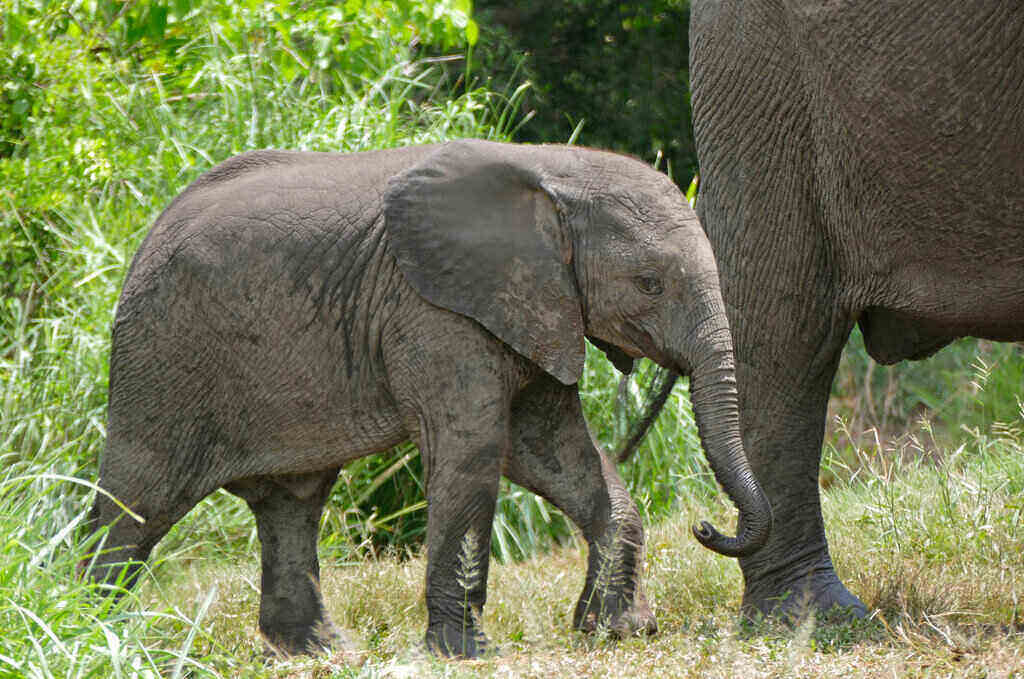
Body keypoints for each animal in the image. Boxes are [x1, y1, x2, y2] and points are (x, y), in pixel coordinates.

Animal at [85, 139, 772, 657]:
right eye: (649, 284)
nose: (705, 525)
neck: (552, 172)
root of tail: (149, 236)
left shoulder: (532, 307)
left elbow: (553, 450)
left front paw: (618, 632)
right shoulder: (433, 310)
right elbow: (475, 449)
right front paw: (468, 653)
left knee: (292, 503)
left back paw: (323, 651)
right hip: (163, 355)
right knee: (138, 498)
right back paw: (95, 632)